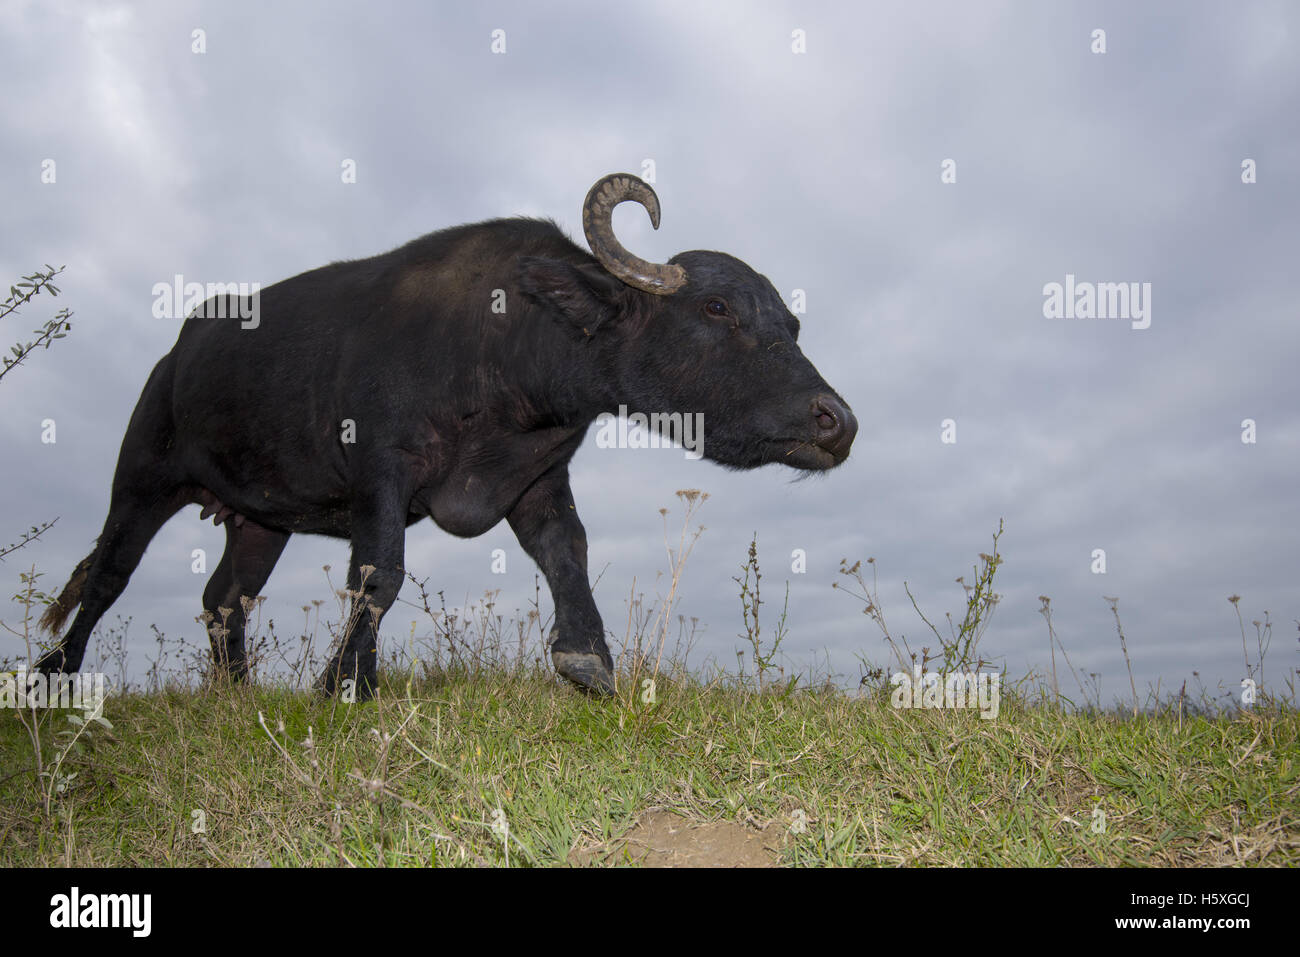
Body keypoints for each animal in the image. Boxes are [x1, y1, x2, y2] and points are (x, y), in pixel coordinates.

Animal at [35, 174, 857, 697]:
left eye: (791, 323)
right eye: (716, 308)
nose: (838, 421)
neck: (506, 342)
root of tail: (175, 355)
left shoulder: (536, 479)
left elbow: (568, 554)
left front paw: (588, 662)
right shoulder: (381, 472)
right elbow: (379, 575)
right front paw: (345, 683)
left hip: (258, 520)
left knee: (224, 598)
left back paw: (234, 693)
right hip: (142, 477)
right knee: (108, 576)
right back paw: (55, 677)